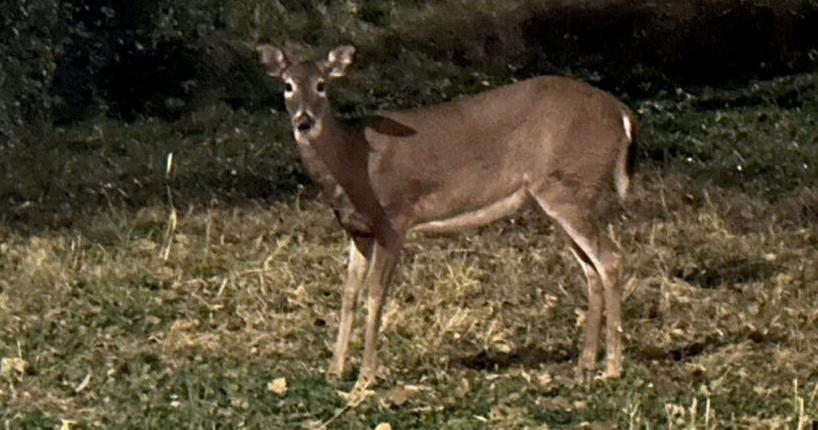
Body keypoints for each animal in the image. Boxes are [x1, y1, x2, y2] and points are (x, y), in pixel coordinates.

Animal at [256, 44, 637, 387]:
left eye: (322, 85)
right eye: (288, 85)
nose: (304, 121)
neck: (351, 162)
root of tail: (622, 112)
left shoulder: (394, 220)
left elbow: (375, 296)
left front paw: (365, 377)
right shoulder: (358, 231)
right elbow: (349, 295)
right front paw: (334, 370)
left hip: (567, 188)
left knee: (611, 259)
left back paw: (612, 368)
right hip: (565, 197)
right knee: (591, 269)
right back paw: (586, 363)